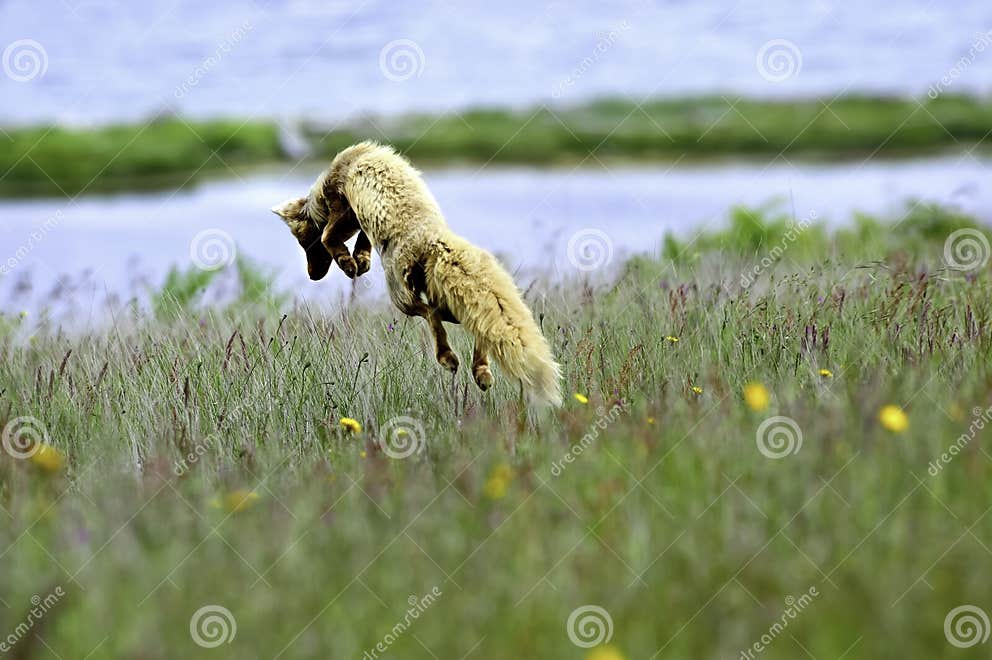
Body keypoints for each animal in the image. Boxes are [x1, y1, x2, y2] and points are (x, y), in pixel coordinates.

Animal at [271, 141, 563, 408]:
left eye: (303, 244)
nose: (312, 276)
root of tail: (435, 240)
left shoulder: (342, 205)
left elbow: (330, 236)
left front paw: (347, 262)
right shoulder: (356, 215)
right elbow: (361, 239)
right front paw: (360, 261)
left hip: (400, 296)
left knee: (433, 316)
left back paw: (448, 359)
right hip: (441, 301)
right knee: (473, 323)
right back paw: (481, 372)